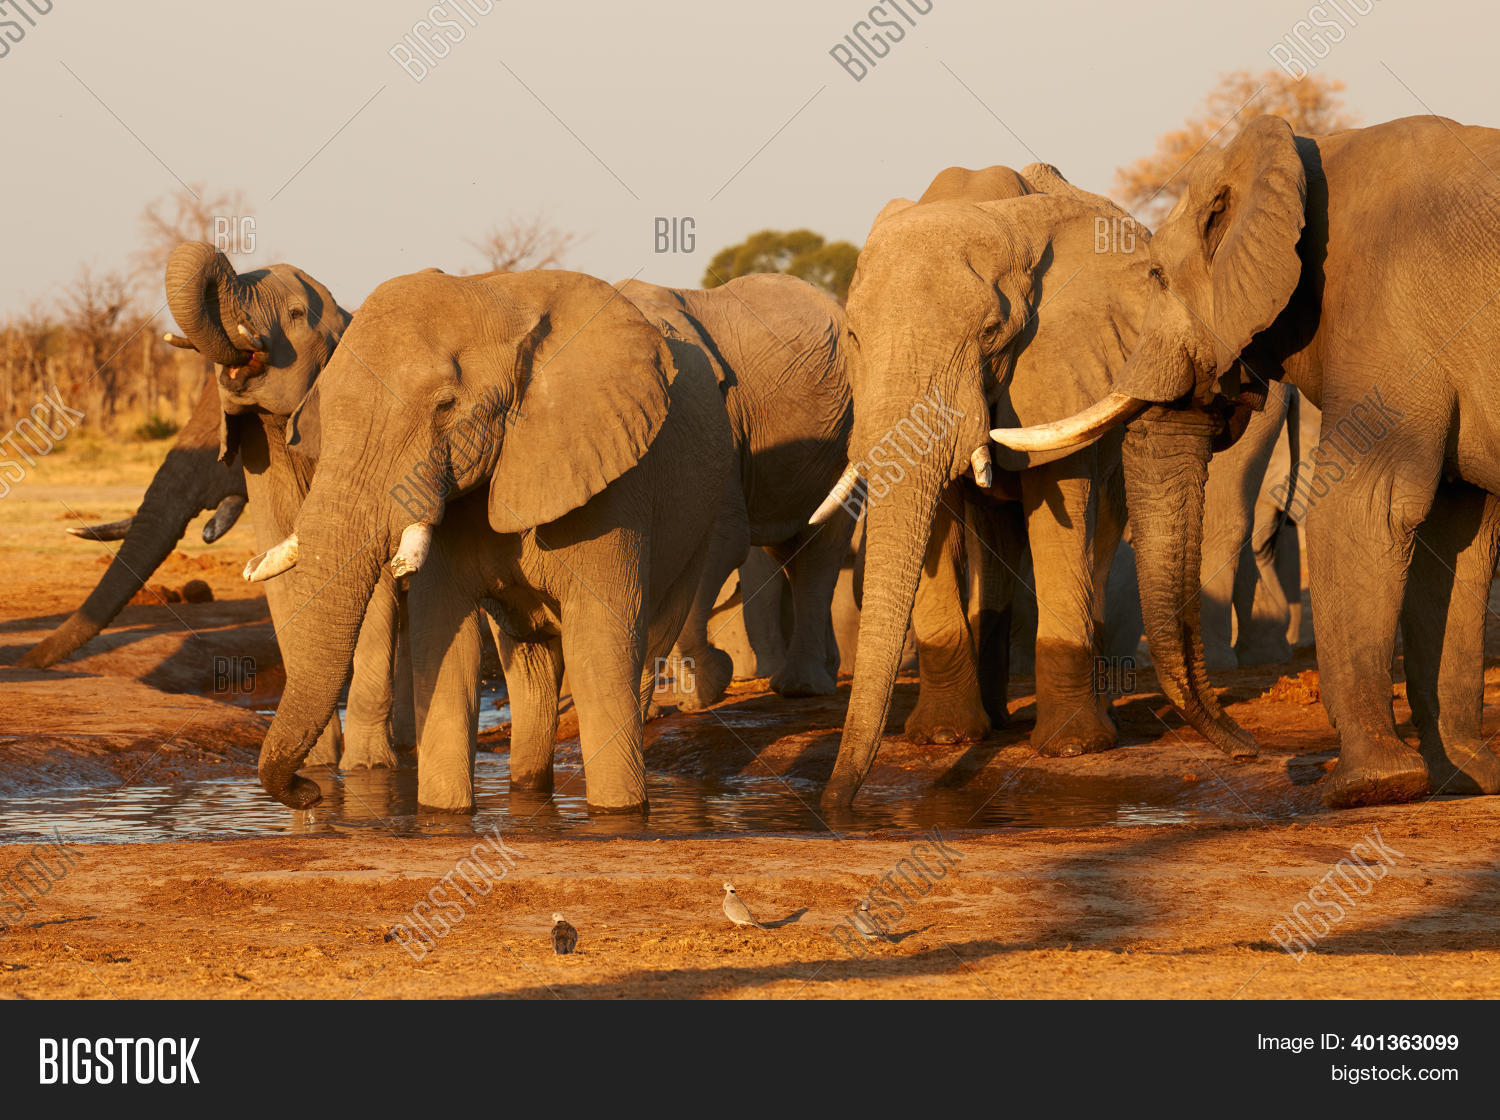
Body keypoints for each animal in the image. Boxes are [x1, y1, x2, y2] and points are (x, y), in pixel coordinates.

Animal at [243, 268, 734, 813]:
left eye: (445, 405)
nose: (309, 794)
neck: (497, 299)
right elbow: (445, 647)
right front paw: (445, 815)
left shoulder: (617, 483)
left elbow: (599, 649)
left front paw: (620, 815)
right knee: (529, 665)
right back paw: (527, 789)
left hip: (698, 521)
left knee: (646, 651)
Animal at [614, 274, 855, 706]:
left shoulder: (714, 419)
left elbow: (719, 539)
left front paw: (704, 690)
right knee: (788, 550)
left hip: (842, 433)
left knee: (819, 547)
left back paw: (802, 687)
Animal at [993, 114, 1500, 809]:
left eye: (1157, 276)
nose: (1249, 749)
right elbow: (1457, 531)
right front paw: (1466, 777)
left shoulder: (1389, 313)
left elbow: (1366, 507)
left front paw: (1368, 788)